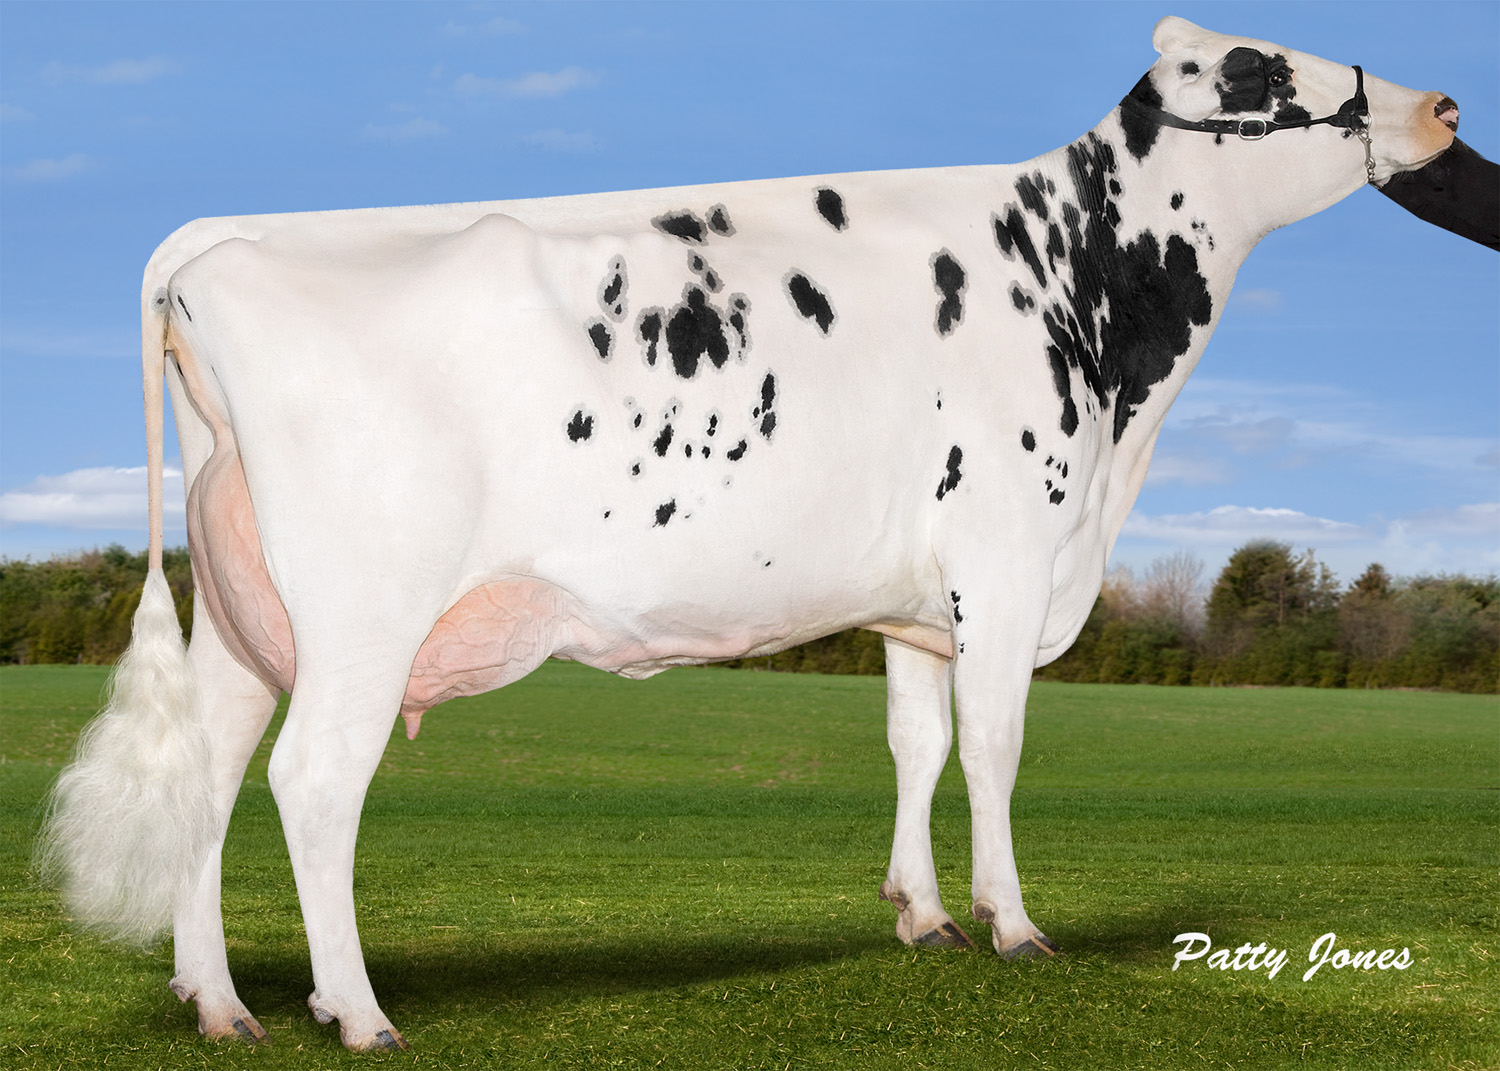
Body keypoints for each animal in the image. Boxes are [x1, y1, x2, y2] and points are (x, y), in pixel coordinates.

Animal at [39, 17, 1474, 1052]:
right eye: (1258, 68)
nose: (1441, 110)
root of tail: (212, 246)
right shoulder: (1009, 559)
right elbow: (996, 747)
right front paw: (1014, 925)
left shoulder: (920, 599)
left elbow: (918, 742)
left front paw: (925, 916)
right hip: (359, 611)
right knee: (312, 782)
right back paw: (358, 1011)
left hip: (245, 615)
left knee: (213, 771)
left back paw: (220, 1002)